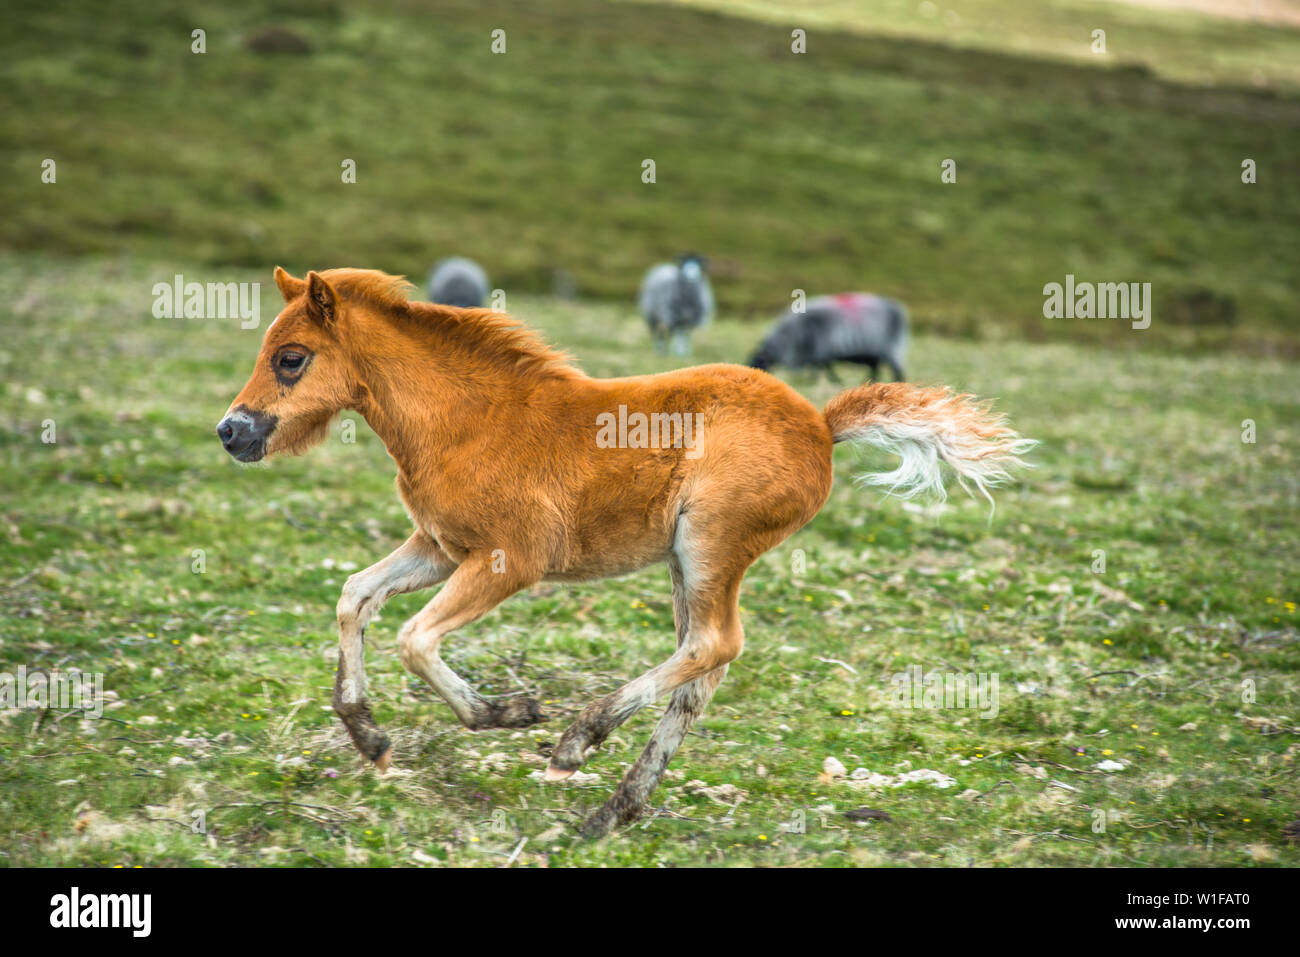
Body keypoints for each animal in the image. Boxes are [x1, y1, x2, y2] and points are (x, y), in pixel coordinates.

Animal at [217, 266, 1034, 837]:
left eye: (291, 359)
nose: (232, 431)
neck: (465, 419)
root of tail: (821, 424)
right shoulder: (442, 548)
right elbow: (355, 595)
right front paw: (370, 736)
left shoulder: (510, 559)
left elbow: (415, 639)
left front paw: (508, 711)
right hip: (684, 559)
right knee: (702, 672)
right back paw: (615, 809)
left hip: (708, 542)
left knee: (712, 645)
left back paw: (580, 740)